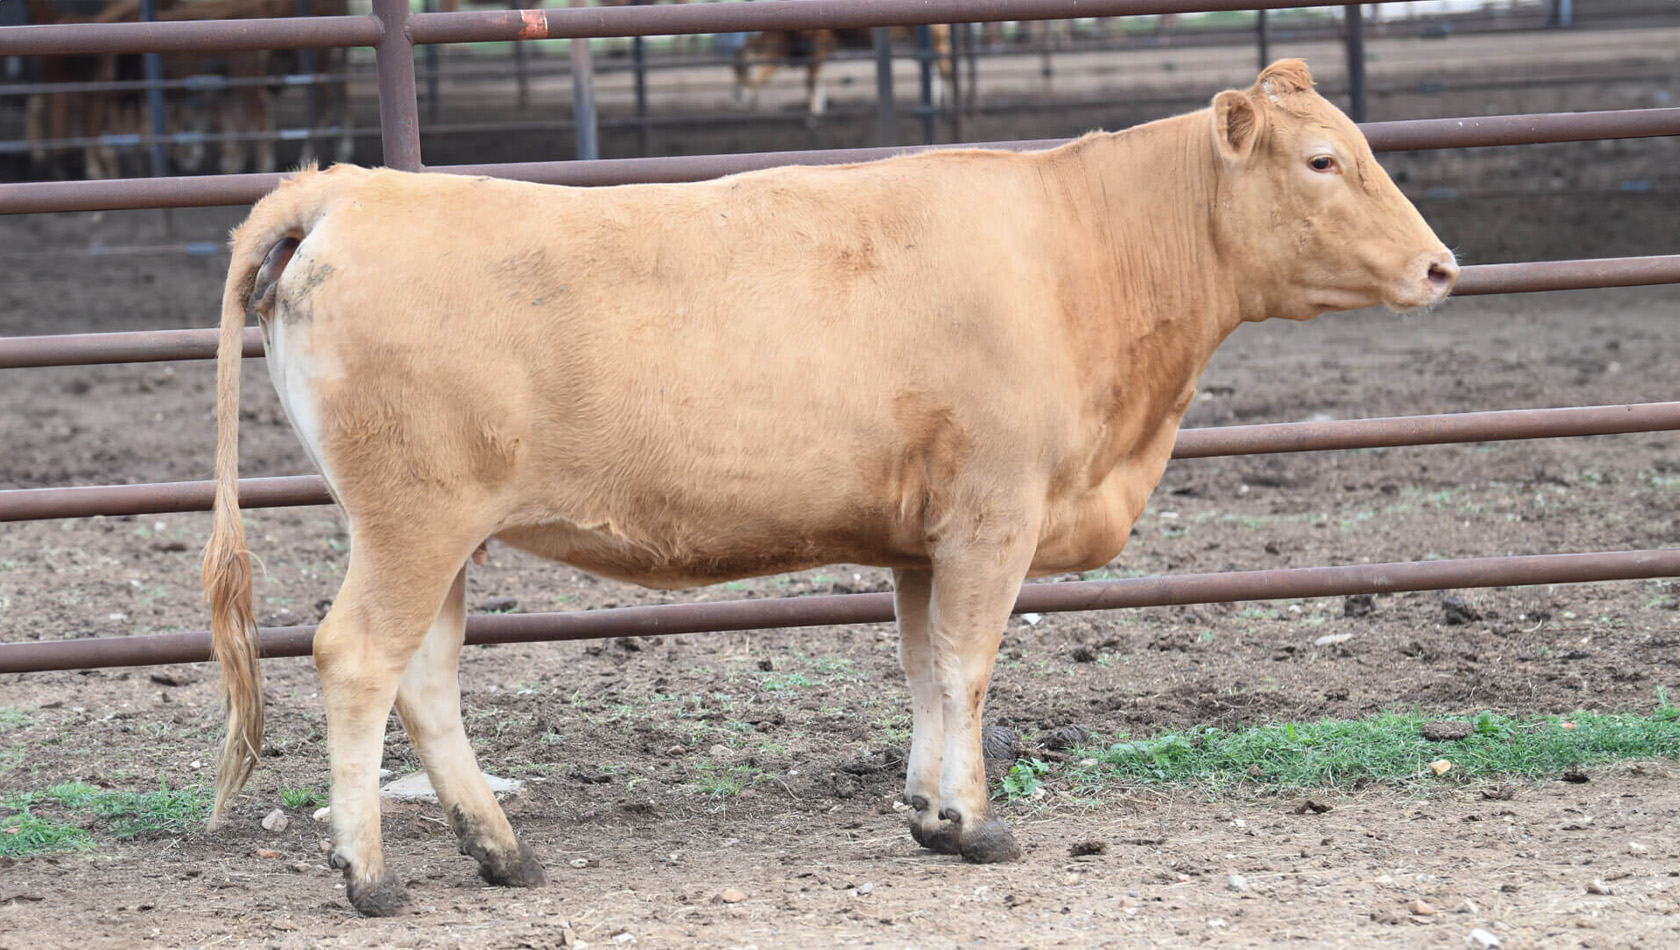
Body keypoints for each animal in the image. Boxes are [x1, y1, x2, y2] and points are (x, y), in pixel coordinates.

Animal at [203, 59, 1457, 916]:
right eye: (1322, 160)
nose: (1442, 264)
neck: (1081, 253)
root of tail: (347, 188)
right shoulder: (993, 516)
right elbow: (969, 665)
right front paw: (975, 820)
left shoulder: (921, 541)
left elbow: (923, 670)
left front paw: (927, 809)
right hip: (414, 519)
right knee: (358, 657)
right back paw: (369, 872)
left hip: (441, 533)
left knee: (427, 676)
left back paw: (502, 848)